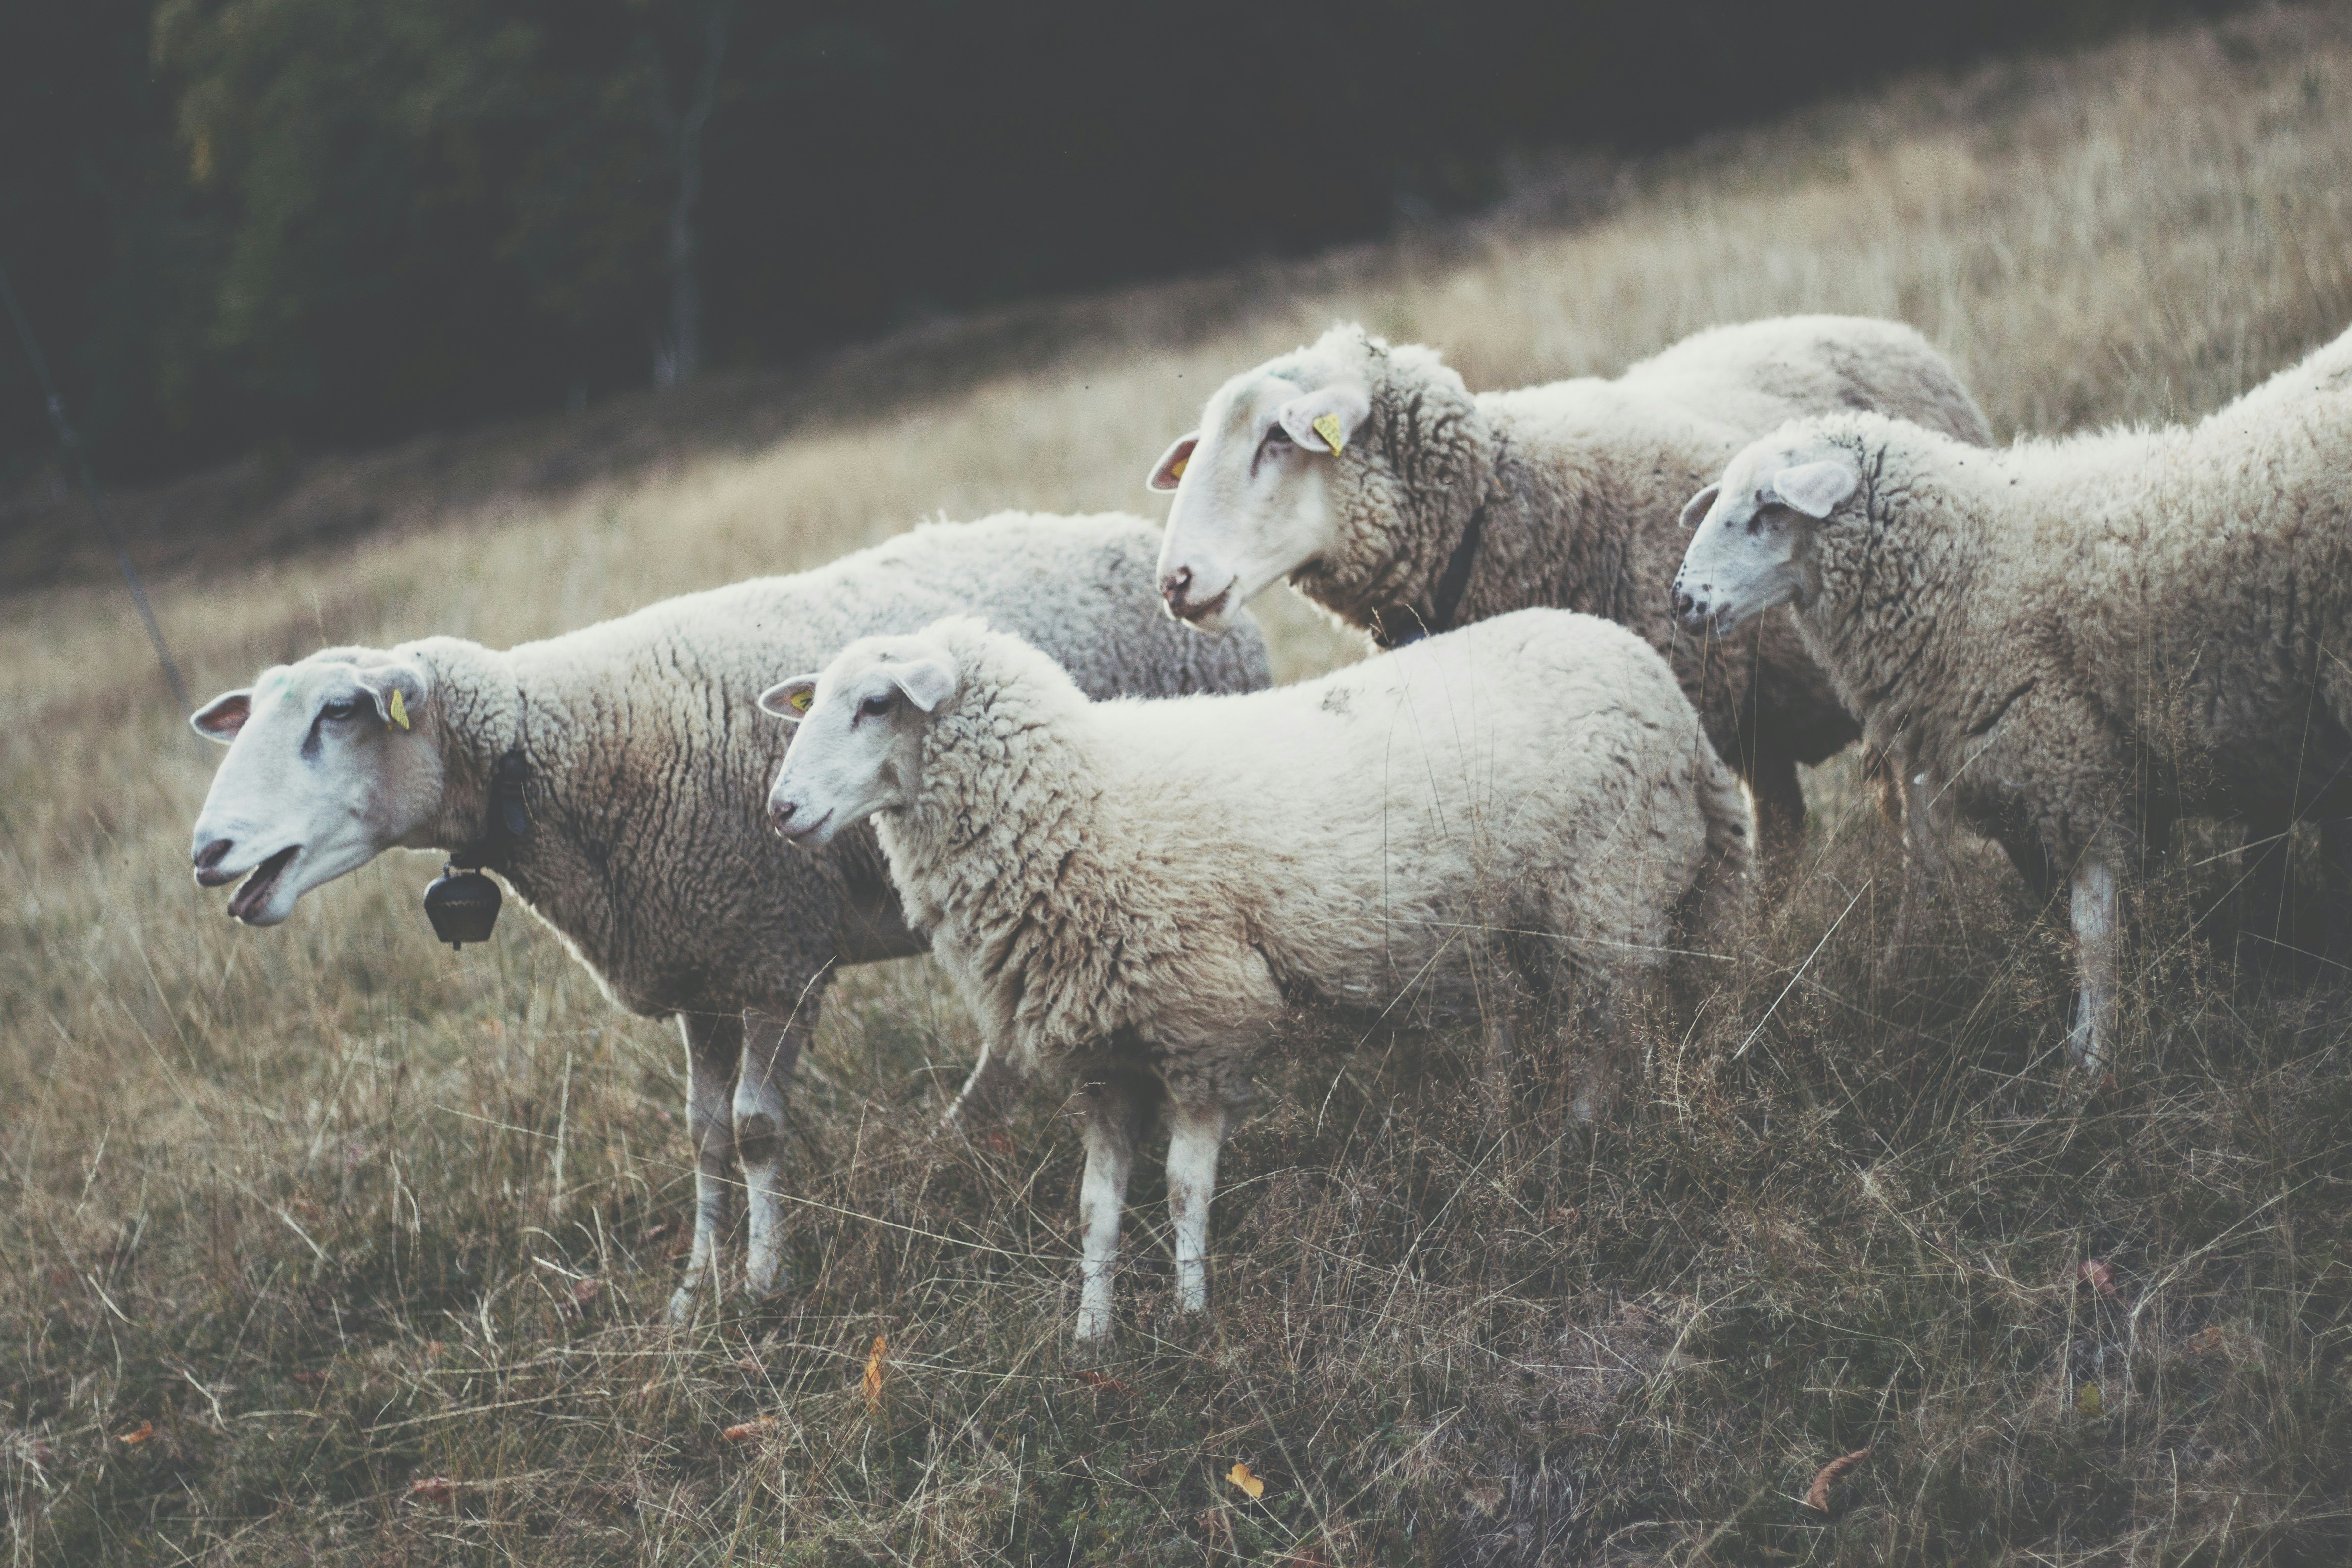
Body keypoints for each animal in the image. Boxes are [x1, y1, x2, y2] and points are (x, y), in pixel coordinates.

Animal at [185, 512, 1270, 1321]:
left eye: (337, 714)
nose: (206, 851)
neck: (559, 755)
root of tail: (1145, 536)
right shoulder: (697, 968)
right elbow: (703, 1135)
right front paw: (693, 1289)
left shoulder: (774, 958)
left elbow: (753, 1130)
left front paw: (762, 1281)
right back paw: (957, 1137)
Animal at [759, 607, 1751, 1339]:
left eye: (877, 703)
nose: (781, 809)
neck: (1085, 798)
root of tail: (1677, 707)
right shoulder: (1106, 1057)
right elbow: (1096, 1207)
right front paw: (1091, 1333)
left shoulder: (1206, 1026)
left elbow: (1183, 1189)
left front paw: (1194, 1317)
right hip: (1556, 924)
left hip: (1603, 899)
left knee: (1603, 1048)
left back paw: (1576, 1157)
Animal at [1670, 320, 2352, 1074]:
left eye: (1768, 511)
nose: (1683, 600)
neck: (1973, 560)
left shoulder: (2071, 761)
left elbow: (2091, 927)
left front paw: (2094, 1057)